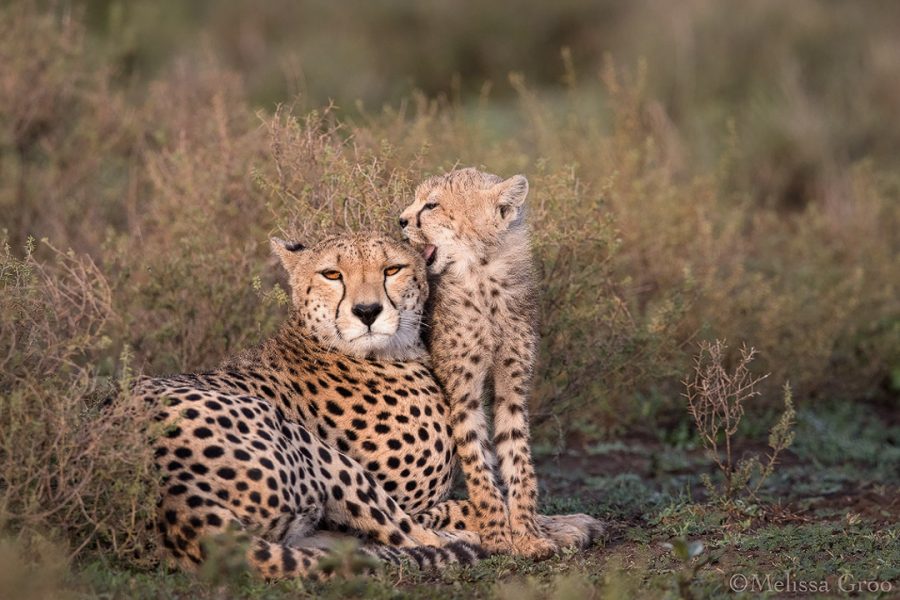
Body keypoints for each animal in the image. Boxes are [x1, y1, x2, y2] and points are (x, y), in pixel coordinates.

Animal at [399, 168, 604, 558]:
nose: (400, 220)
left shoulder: (512, 390)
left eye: (431, 205)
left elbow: (518, 459)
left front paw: (527, 534)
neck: (484, 275)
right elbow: (479, 464)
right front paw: (496, 534)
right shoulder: (463, 393)